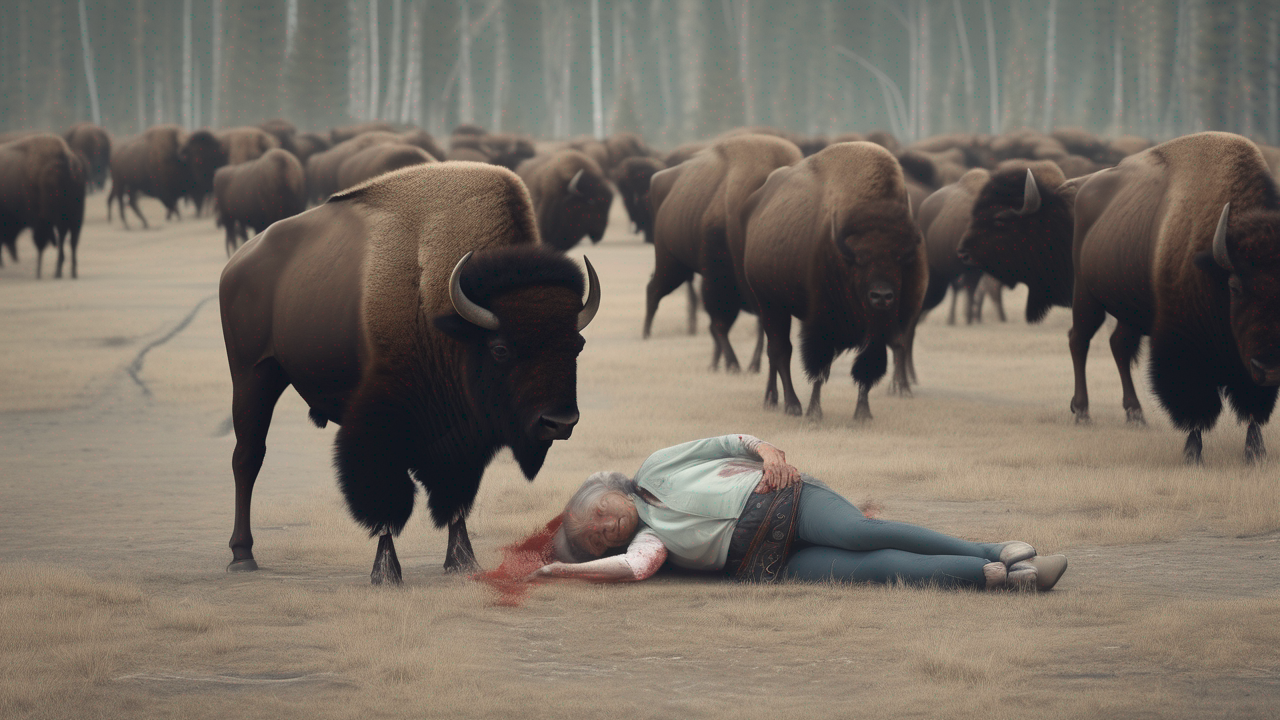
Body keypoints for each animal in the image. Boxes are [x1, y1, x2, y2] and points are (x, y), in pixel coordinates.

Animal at [0, 133, 86, 279]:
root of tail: (65, 157)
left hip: (57, 218)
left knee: (54, 240)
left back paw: (48, 272)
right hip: (74, 217)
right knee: (71, 241)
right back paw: (69, 271)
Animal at [220, 159, 599, 579]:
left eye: (577, 345)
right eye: (500, 348)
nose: (559, 422)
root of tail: (236, 264)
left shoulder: (462, 437)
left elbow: (455, 496)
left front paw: (462, 562)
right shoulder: (380, 428)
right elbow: (386, 496)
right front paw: (385, 572)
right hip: (253, 374)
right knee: (247, 457)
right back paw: (242, 556)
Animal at [650, 133, 798, 368]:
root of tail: (659, 178)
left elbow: (755, 327)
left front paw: (751, 365)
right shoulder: (719, 280)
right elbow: (719, 324)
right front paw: (734, 365)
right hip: (670, 262)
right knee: (654, 291)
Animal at [737, 140, 926, 420]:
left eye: (901, 258)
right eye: (860, 260)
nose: (881, 296)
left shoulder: (880, 330)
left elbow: (868, 367)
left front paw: (863, 413)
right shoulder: (823, 325)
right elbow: (818, 368)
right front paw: (814, 412)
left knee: (775, 352)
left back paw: (773, 400)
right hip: (770, 304)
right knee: (780, 351)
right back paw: (790, 404)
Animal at [1064, 131, 1280, 461]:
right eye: (1235, 287)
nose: (1269, 369)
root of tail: (1086, 185)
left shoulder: (1247, 362)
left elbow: (1253, 404)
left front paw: (1255, 453)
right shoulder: (1183, 343)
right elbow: (1192, 400)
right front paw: (1193, 453)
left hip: (1130, 309)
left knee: (1119, 345)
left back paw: (1136, 415)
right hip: (1087, 294)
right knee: (1079, 340)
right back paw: (1083, 412)